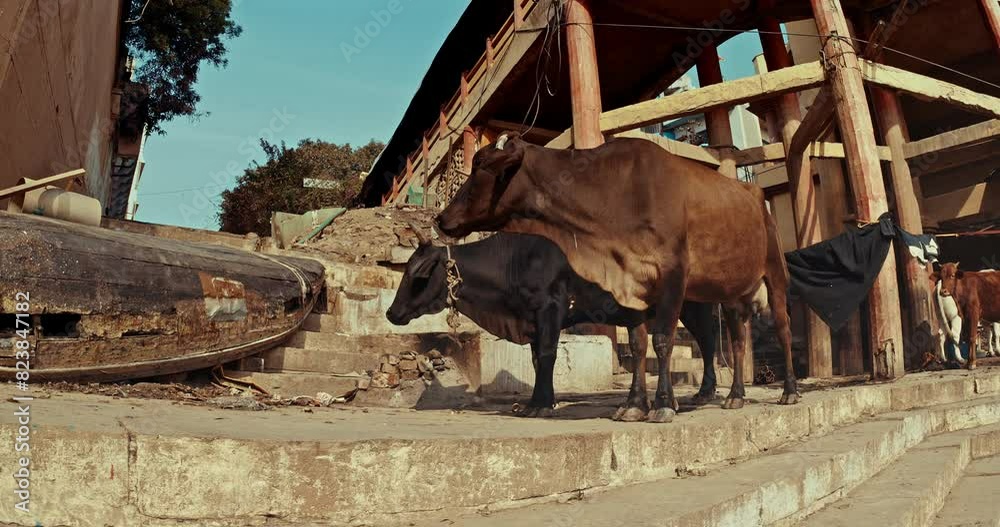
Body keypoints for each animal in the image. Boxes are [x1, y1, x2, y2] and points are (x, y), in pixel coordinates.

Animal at [385, 229, 721, 422]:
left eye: (416, 273)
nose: (391, 312)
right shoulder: (532, 319)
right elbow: (536, 360)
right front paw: (533, 402)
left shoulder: (550, 309)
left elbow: (547, 356)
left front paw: (542, 405)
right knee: (648, 347)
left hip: (695, 306)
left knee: (708, 341)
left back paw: (708, 394)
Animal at [436, 133, 798, 414]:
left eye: (480, 165)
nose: (441, 217)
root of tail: (755, 194)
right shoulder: (630, 283)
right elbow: (638, 345)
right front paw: (635, 404)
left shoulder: (673, 274)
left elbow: (662, 340)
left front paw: (662, 404)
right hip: (731, 294)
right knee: (736, 341)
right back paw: (735, 395)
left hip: (774, 275)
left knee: (782, 329)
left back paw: (789, 391)